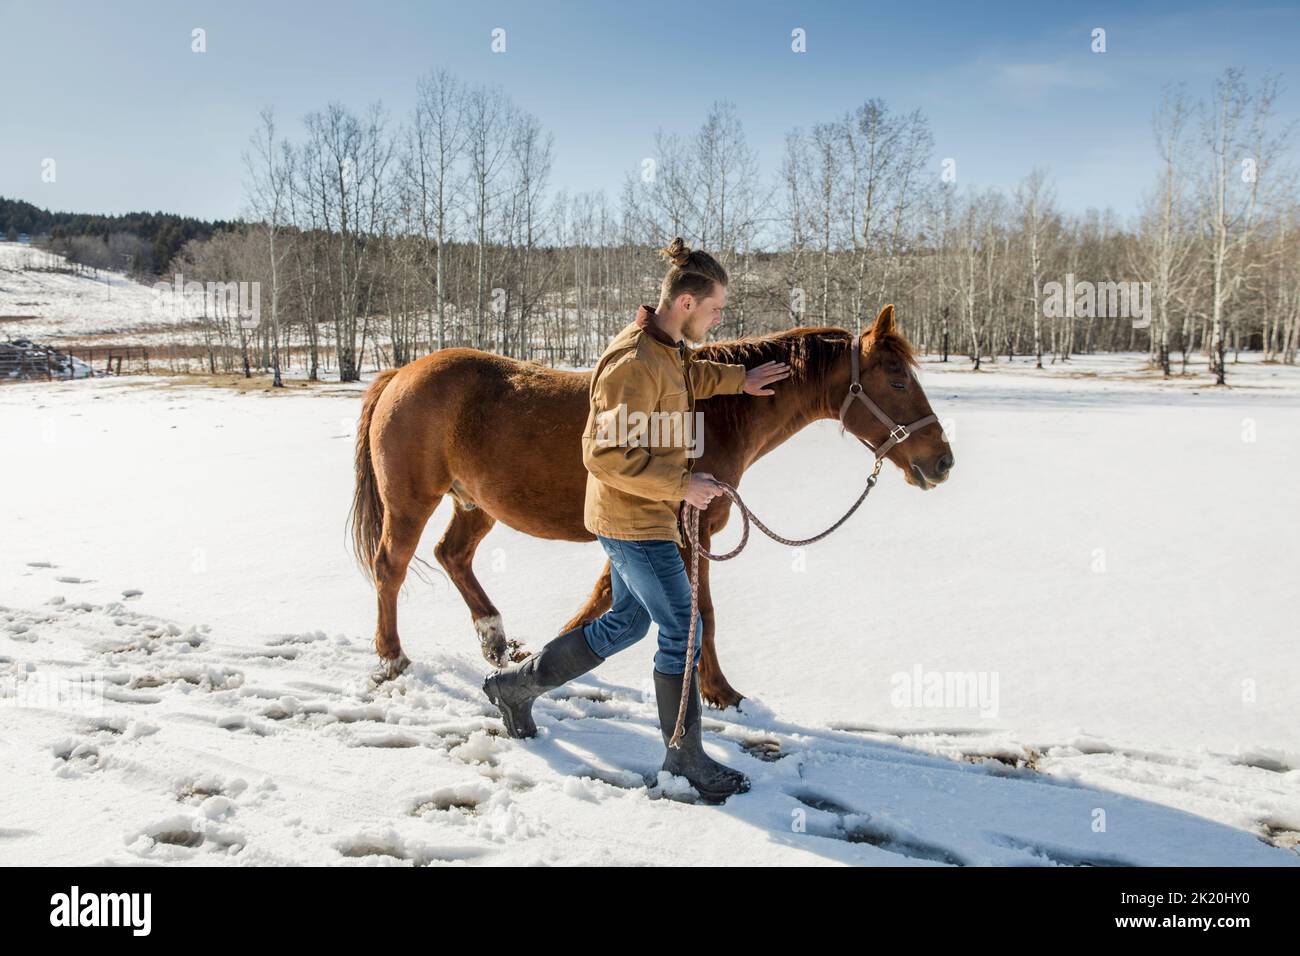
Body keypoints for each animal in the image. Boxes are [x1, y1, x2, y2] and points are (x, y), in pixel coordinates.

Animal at [349, 304, 953, 709]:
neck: (711, 415)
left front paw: (548, 657)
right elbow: (702, 614)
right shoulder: (694, 535)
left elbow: (603, 600)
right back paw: (392, 656)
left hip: (476, 505)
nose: (942, 461)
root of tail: (400, 374)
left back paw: (496, 641)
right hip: (412, 502)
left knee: (452, 556)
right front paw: (719, 691)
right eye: (898, 380)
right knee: (390, 567)